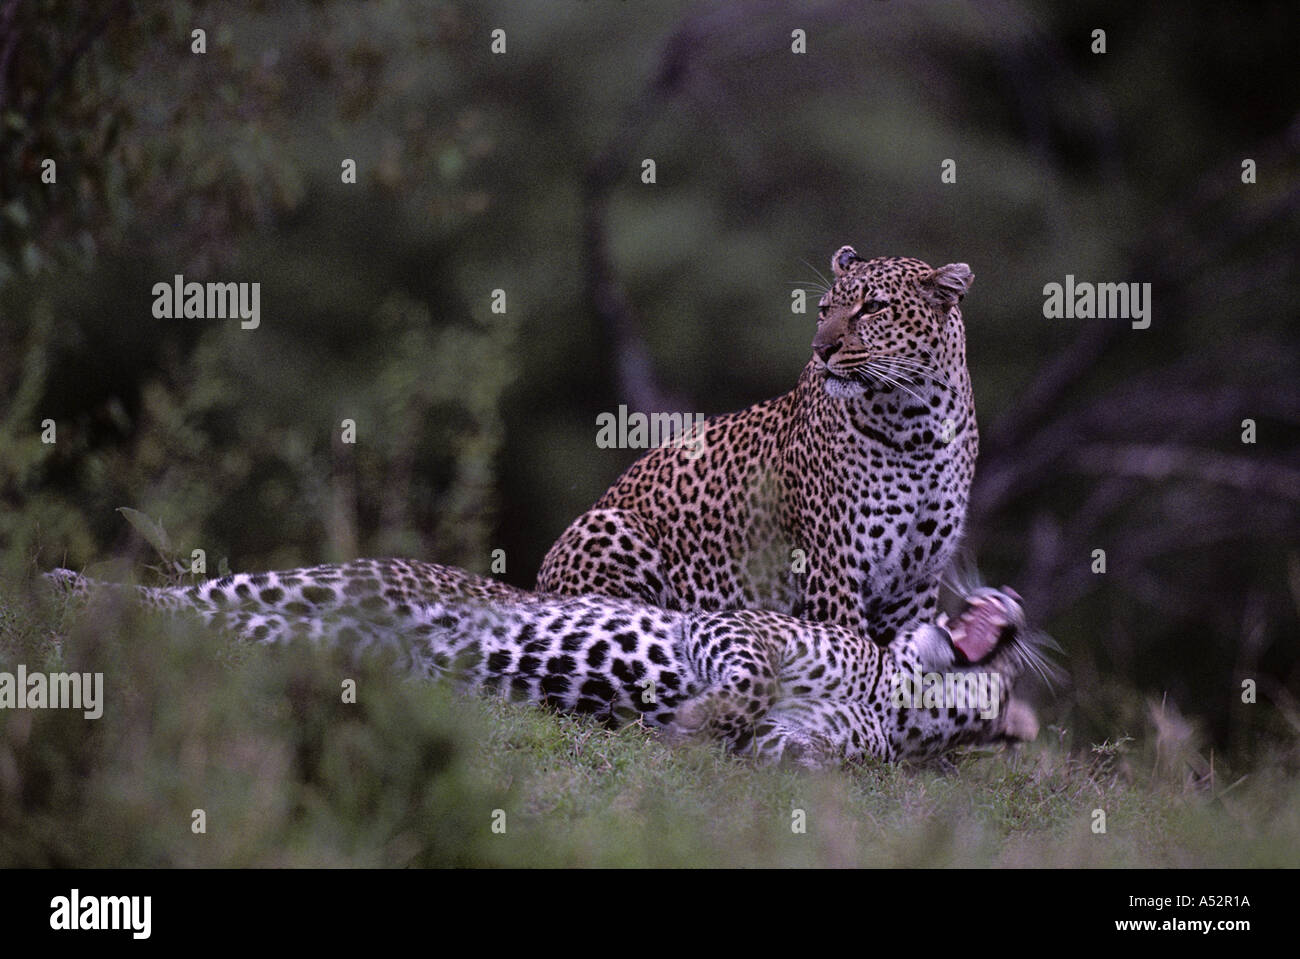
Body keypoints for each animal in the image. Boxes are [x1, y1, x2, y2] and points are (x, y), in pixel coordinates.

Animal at [539, 246, 979, 651]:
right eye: (824, 310)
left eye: (872, 307)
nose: (821, 349)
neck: (917, 424)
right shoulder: (834, 567)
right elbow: (857, 655)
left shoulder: (916, 583)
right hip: (608, 527)